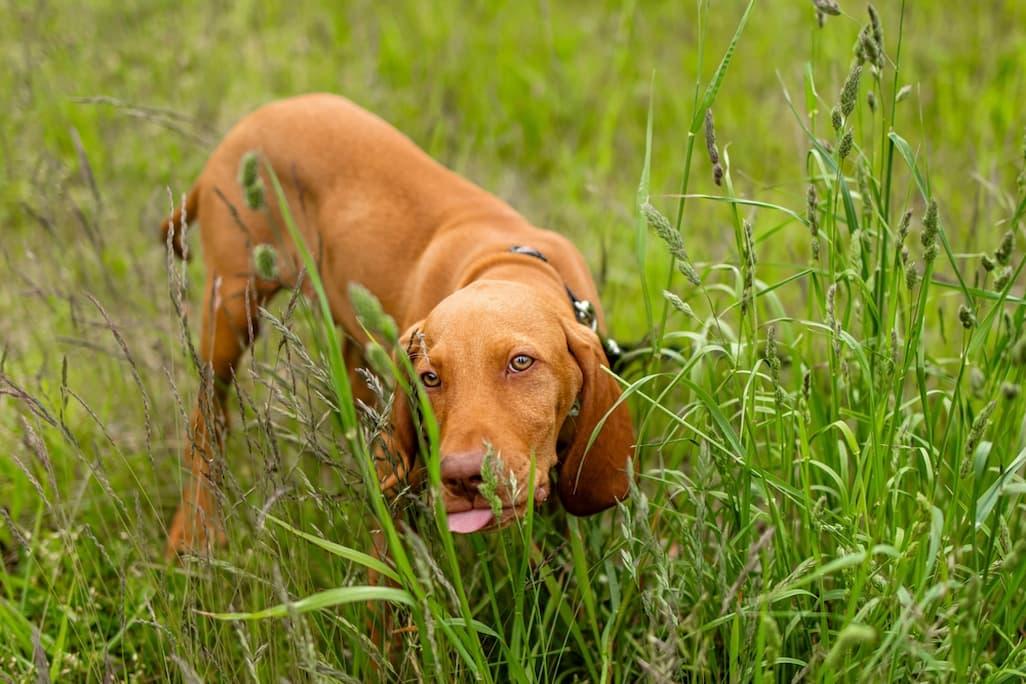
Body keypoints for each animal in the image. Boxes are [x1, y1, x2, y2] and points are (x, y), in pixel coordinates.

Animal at [160, 92, 632, 557]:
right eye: (429, 378)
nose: (463, 476)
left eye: (521, 362)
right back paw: (193, 534)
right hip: (232, 305)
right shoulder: (395, 461)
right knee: (207, 418)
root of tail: (249, 122)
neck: (507, 263)